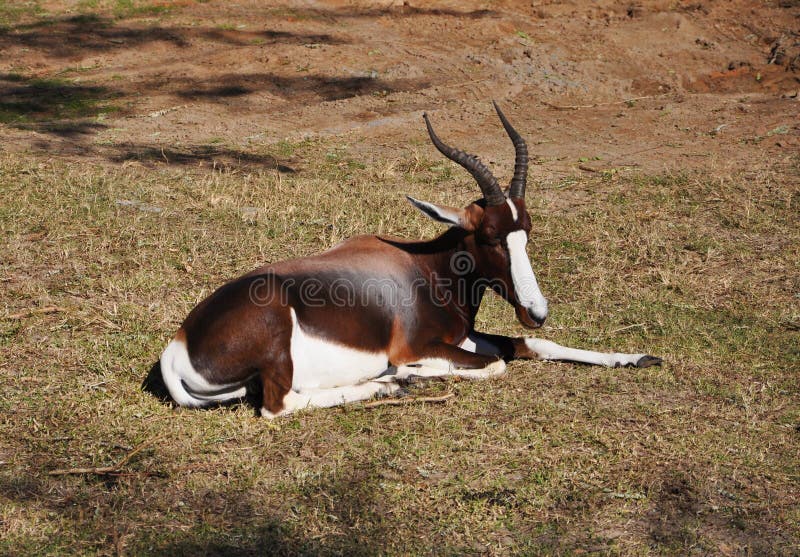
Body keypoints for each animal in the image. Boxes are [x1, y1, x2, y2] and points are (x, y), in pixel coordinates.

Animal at [159, 102, 662, 417]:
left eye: (528, 232)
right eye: (491, 236)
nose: (536, 310)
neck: (423, 269)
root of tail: (177, 347)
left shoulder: (465, 335)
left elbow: (529, 344)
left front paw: (637, 357)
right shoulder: (423, 344)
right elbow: (495, 364)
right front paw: (407, 371)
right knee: (278, 405)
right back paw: (390, 381)